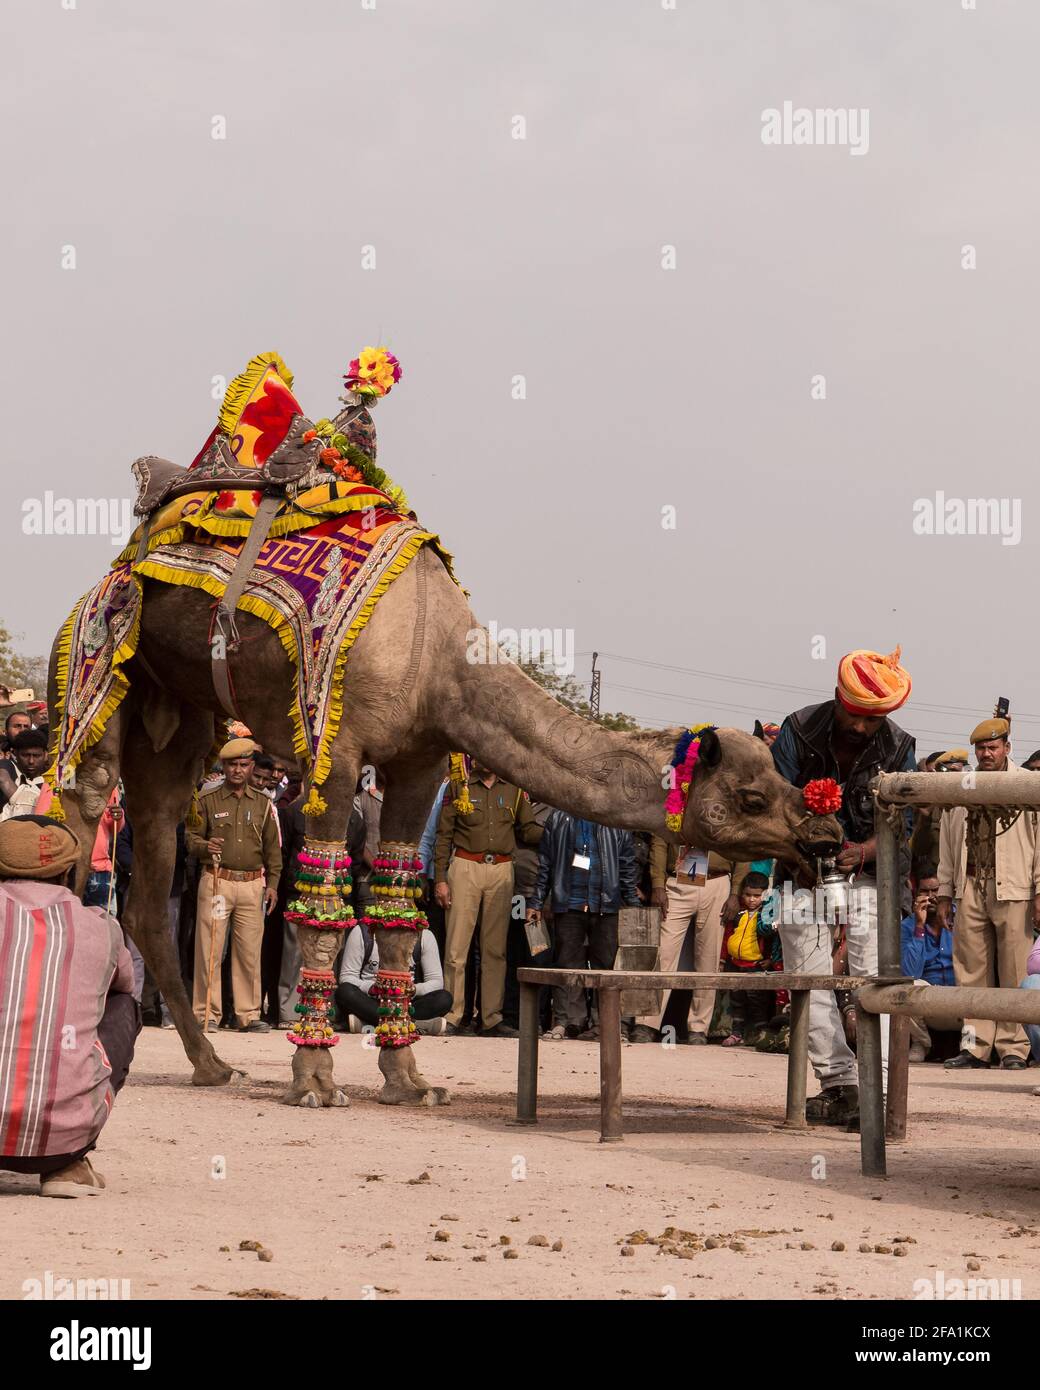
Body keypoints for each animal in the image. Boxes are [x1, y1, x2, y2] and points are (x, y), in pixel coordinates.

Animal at [51, 533, 841, 1110]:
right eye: (752, 798)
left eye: (783, 782)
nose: (821, 834)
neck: (441, 662)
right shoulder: (336, 750)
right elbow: (322, 913)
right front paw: (316, 1083)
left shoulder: (421, 759)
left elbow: (398, 920)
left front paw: (409, 1081)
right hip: (96, 676)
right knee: (82, 817)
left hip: (178, 719)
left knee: (146, 889)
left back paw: (212, 1065)